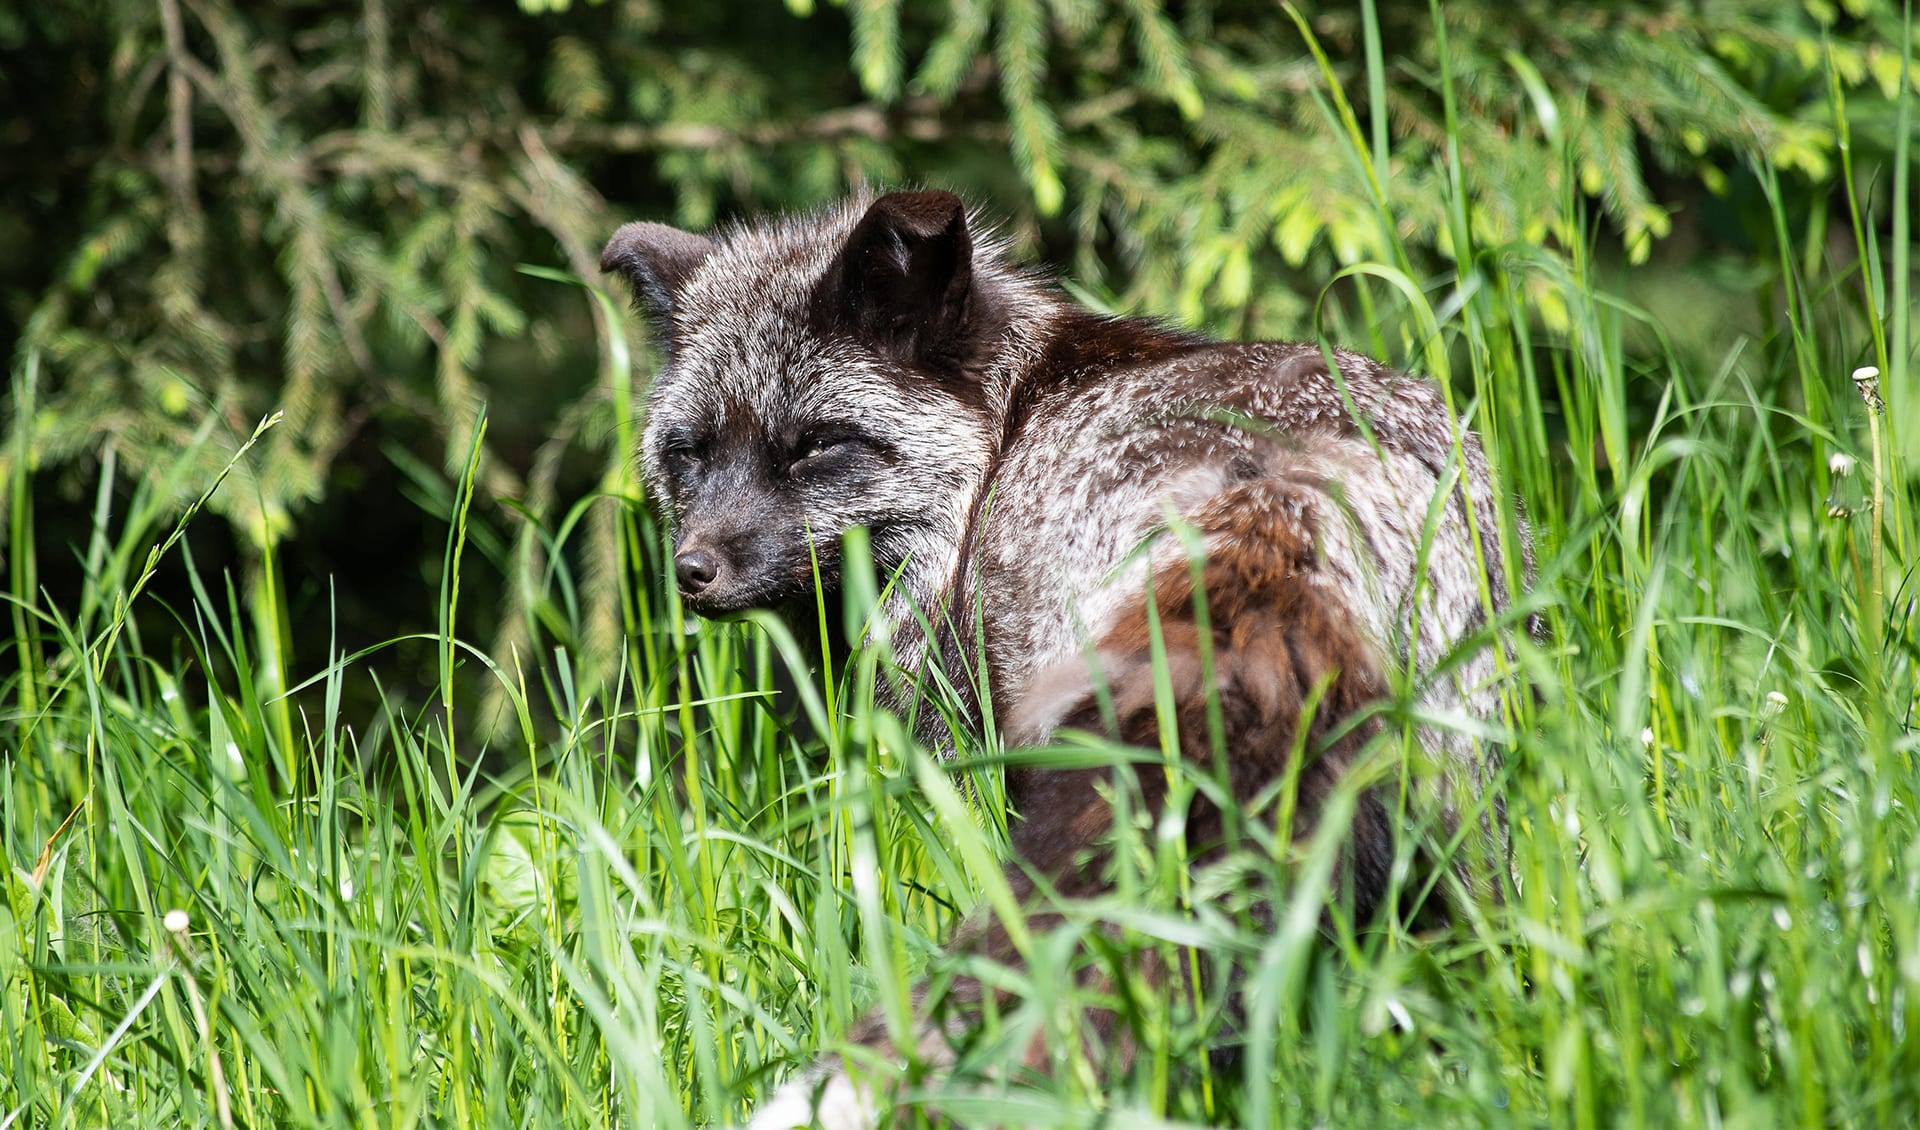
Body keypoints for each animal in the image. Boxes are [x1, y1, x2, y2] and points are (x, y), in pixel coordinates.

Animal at [600, 189, 1528, 1129]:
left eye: (816, 445)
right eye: (691, 452)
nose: (694, 571)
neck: (1002, 438)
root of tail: (1279, 493)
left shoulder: (960, 741)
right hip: (1458, 820)